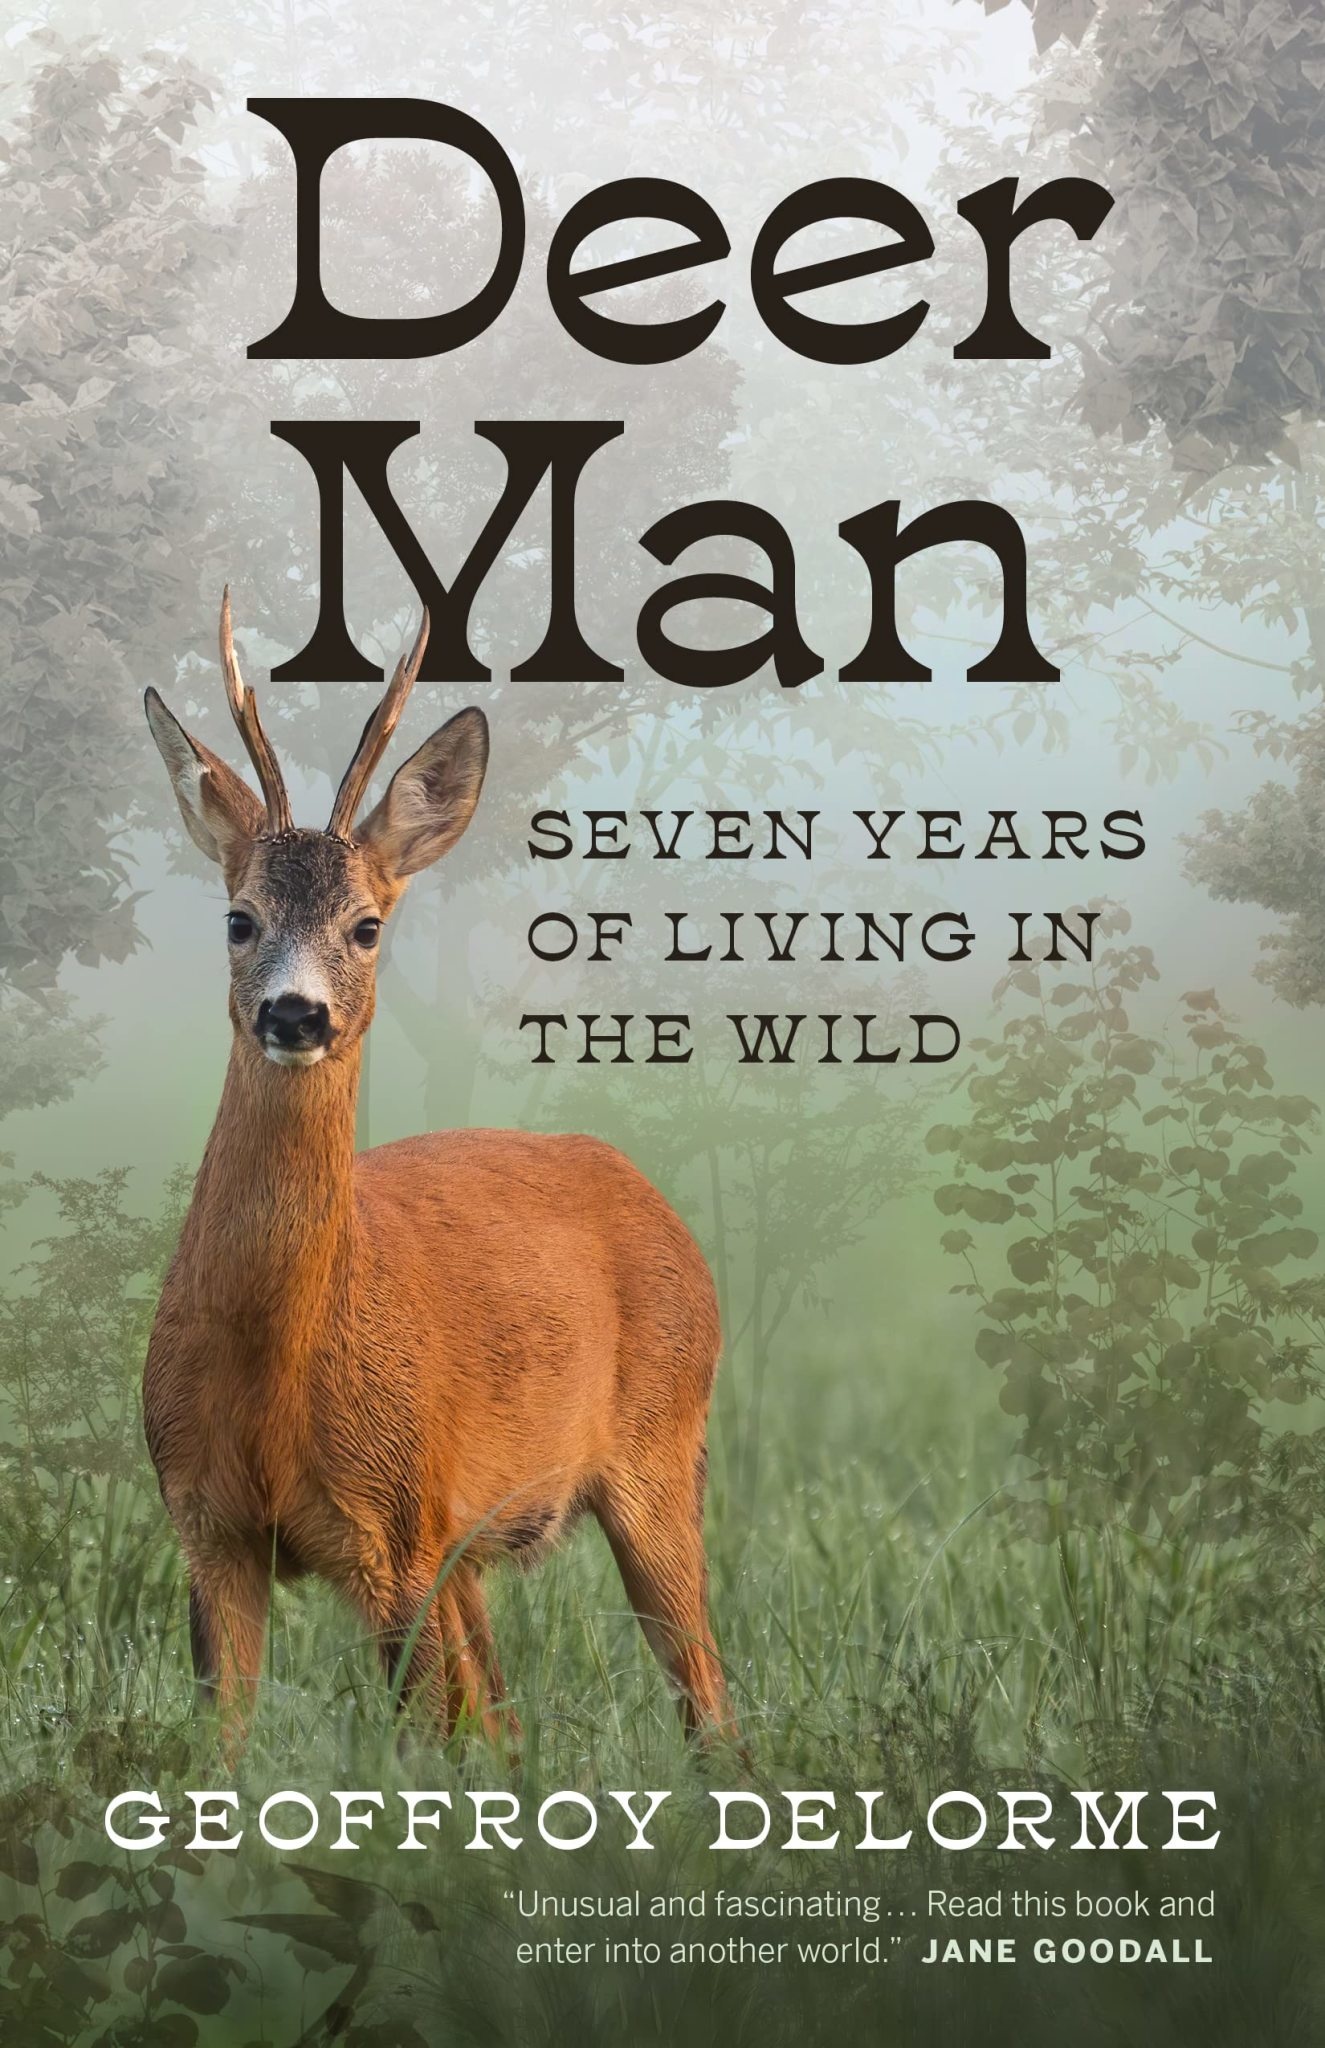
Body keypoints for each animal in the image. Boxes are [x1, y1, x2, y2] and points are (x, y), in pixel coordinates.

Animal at [141, 592, 738, 1757]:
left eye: (368, 925)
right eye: (238, 918)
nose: (295, 1013)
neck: (271, 1370)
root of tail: (651, 1196)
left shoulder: (394, 1526)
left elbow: (414, 1748)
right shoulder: (205, 1522)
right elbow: (219, 1751)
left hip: (658, 1447)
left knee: (706, 1694)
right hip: (475, 1541)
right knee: (504, 1716)